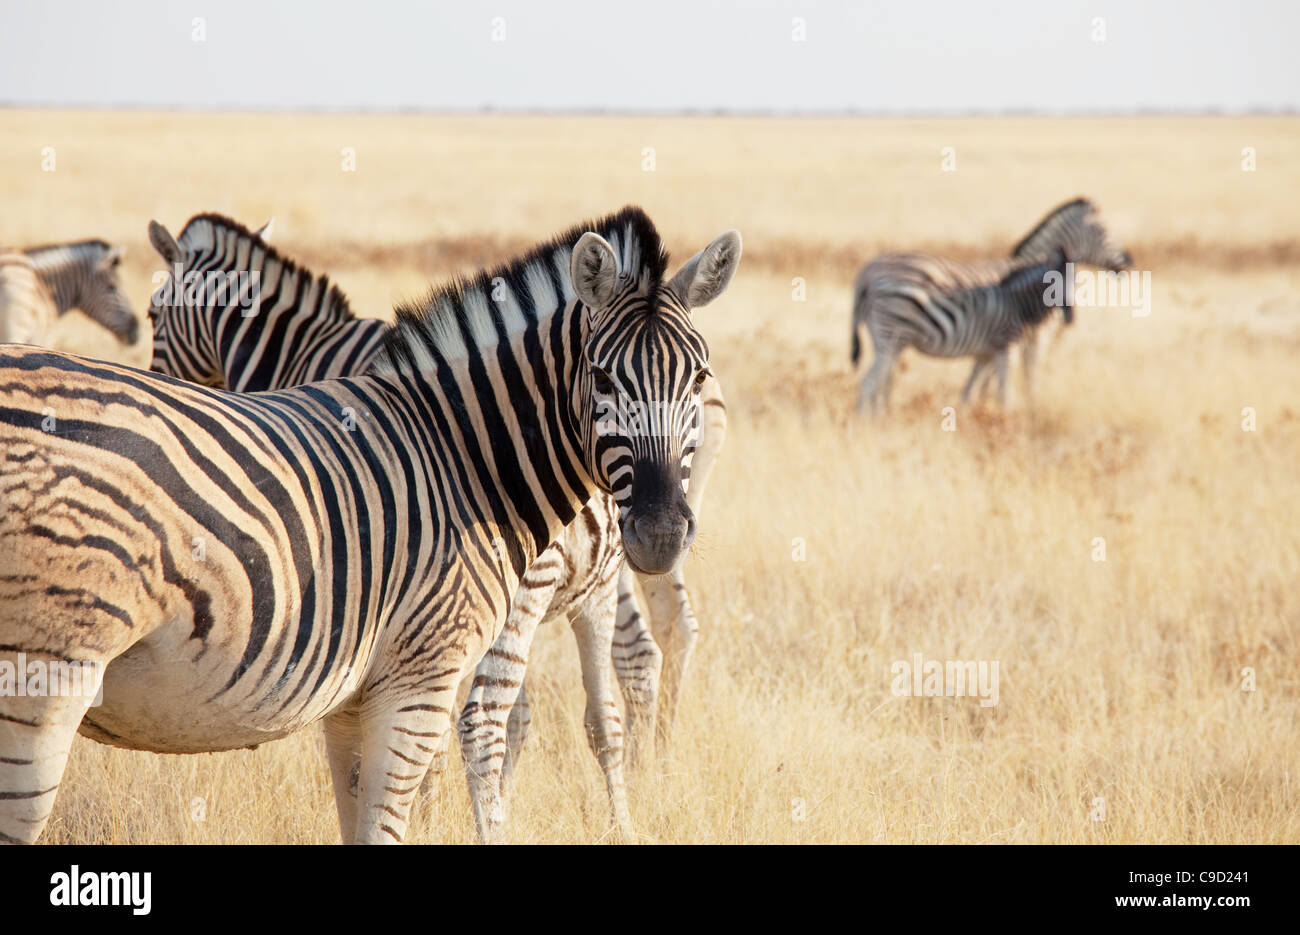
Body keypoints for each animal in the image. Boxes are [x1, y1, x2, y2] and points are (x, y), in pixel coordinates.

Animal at [852, 198, 1131, 414]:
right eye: (1103, 231)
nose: (1129, 261)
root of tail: (868, 271)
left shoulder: (989, 348)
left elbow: (976, 386)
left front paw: (976, 412)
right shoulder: (1030, 341)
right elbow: (1027, 381)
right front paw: (1029, 414)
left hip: (891, 341)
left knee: (882, 383)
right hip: (892, 337)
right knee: (872, 384)